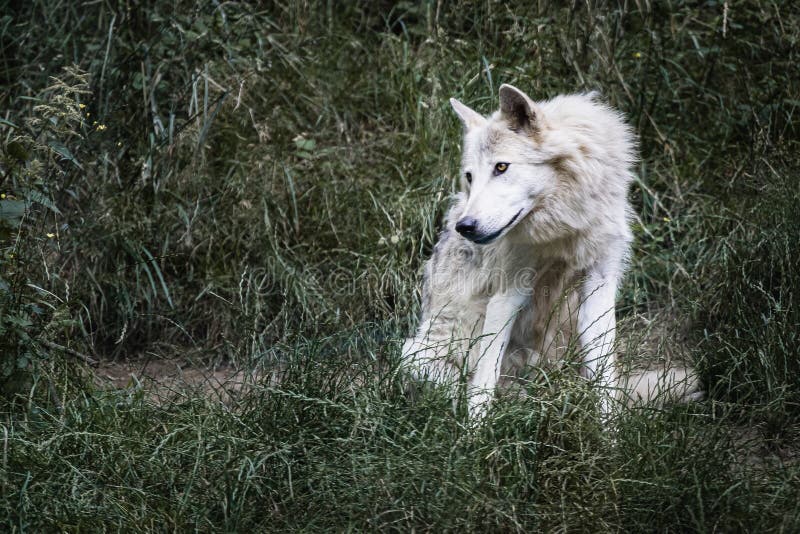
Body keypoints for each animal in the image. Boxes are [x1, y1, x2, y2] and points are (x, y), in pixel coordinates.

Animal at [403, 84, 700, 418]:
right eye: (469, 176)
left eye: (501, 167)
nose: (464, 226)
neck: (561, 226)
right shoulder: (509, 292)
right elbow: (483, 383)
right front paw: (475, 430)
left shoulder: (599, 285)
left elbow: (605, 383)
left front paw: (609, 431)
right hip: (416, 354)